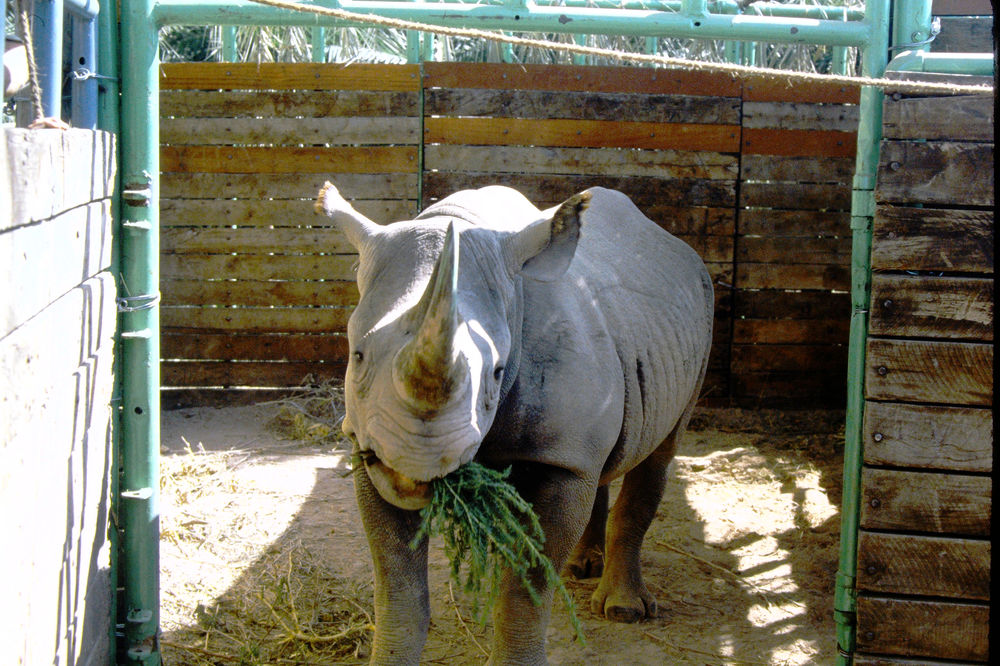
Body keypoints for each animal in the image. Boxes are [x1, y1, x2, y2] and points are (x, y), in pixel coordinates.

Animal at [315, 182, 714, 665]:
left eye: (498, 371)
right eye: (357, 355)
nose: (413, 464)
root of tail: (674, 244)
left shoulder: (559, 461)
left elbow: (525, 593)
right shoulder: (365, 444)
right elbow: (398, 588)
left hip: (699, 313)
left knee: (659, 452)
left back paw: (623, 610)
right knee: (600, 461)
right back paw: (581, 568)